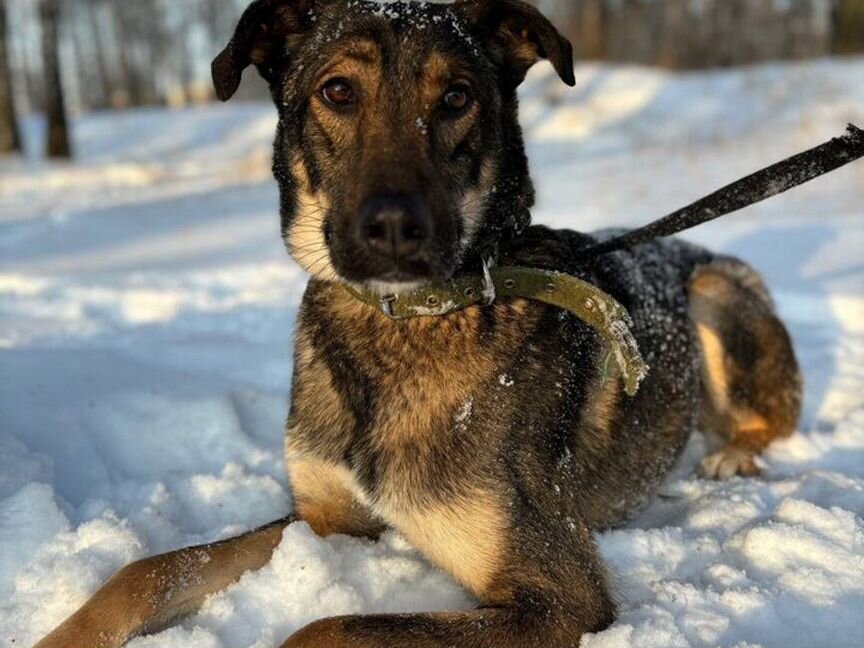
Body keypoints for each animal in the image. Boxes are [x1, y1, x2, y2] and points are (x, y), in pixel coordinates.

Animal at [33, 1, 804, 648]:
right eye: (338, 92)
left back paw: (733, 454)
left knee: (765, 418)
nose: (395, 228)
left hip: (714, 291)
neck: (404, 320)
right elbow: (152, 569)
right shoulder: (326, 519)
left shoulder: (556, 597)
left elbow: (324, 631)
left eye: (457, 97)